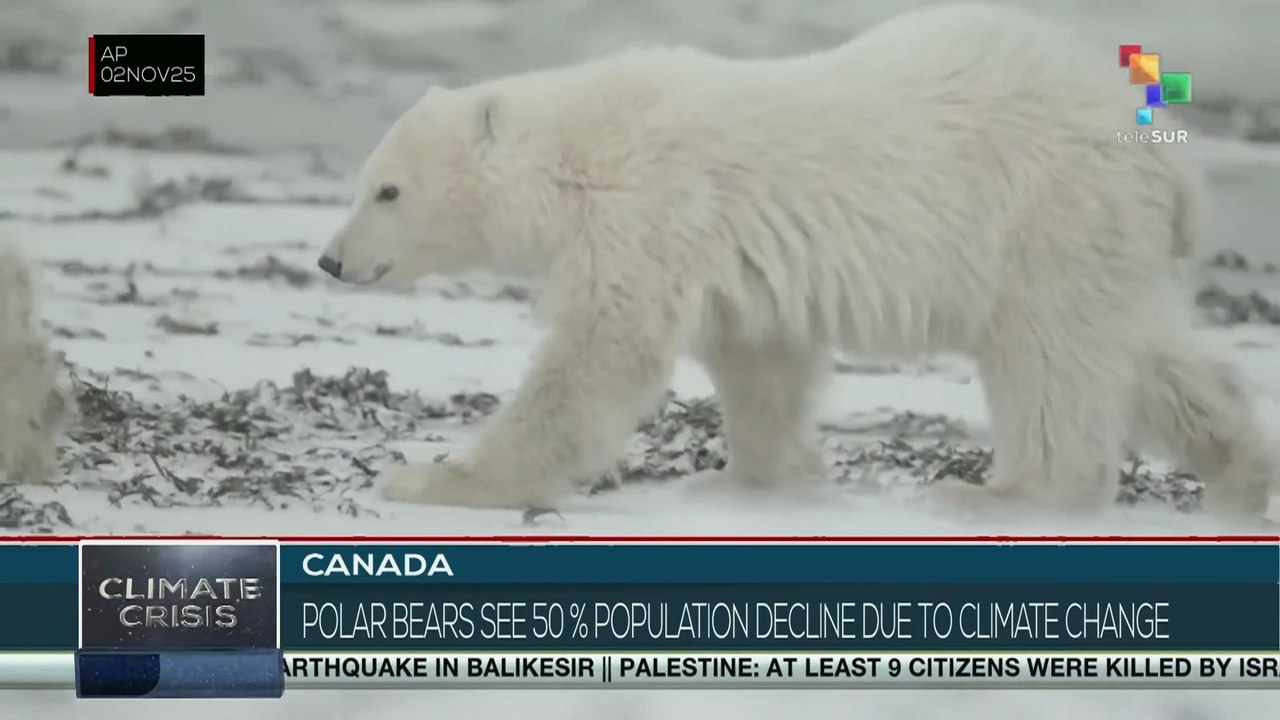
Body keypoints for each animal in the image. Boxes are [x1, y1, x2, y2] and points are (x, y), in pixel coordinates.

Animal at [318, 3, 1275, 520]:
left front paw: (438, 477)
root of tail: (1172, 157)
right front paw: (745, 480)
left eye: (386, 190)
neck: (581, 150)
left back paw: (1006, 494)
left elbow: (595, 356)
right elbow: (759, 361)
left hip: (1041, 209)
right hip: (1099, 235)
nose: (330, 261)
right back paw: (1240, 471)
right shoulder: (724, 254)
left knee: (1050, 357)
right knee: (1143, 350)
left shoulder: (649, 209)